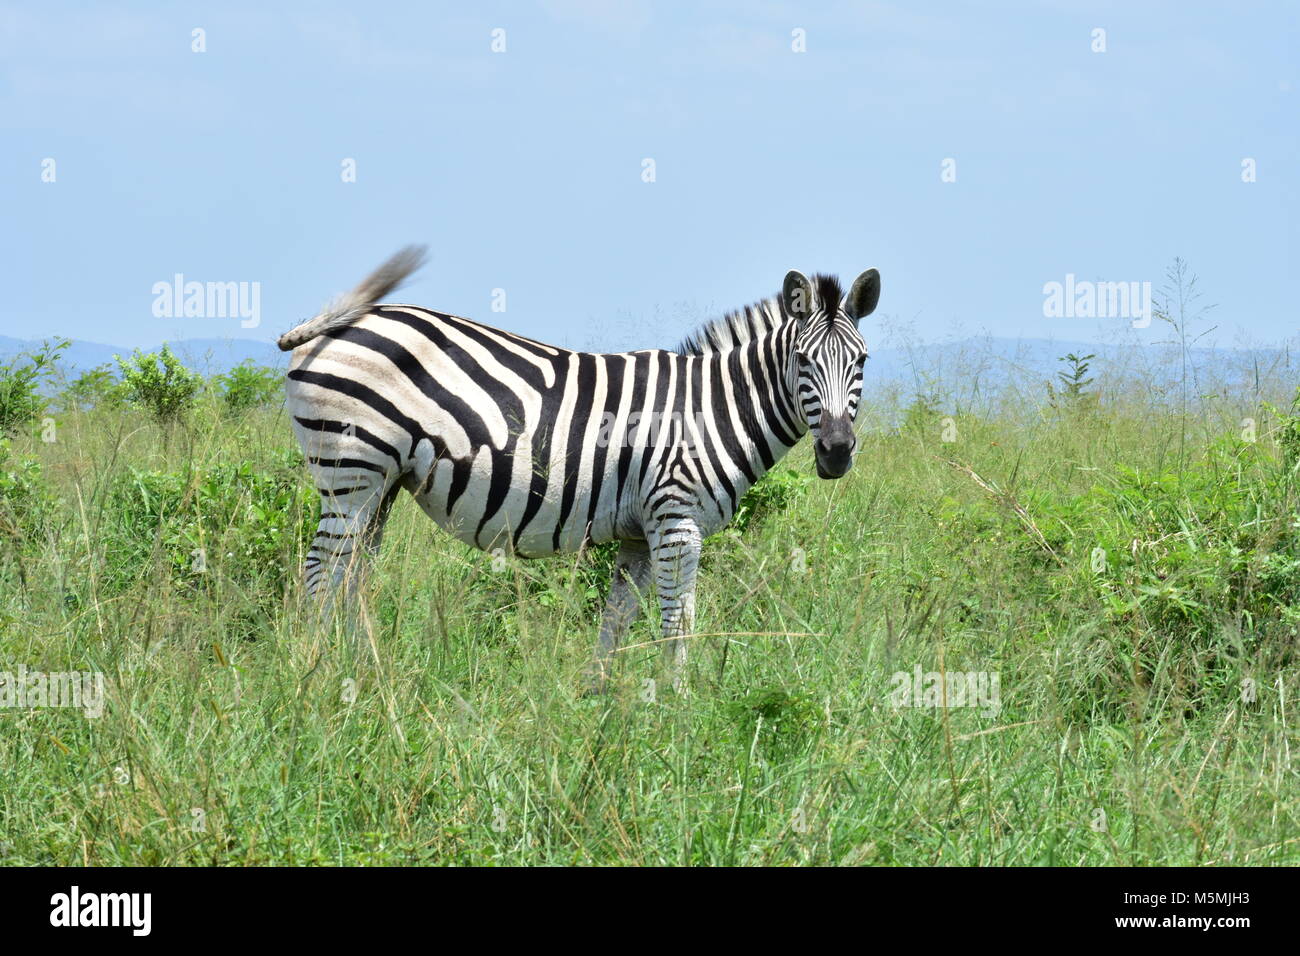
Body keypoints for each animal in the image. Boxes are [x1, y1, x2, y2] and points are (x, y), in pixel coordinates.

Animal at [278, 247, 880, 692]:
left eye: (862, 361)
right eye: (802, 361)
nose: (836, 452)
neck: (712, 408)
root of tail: (335, 324)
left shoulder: (640, 532)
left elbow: (617, 617)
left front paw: (598, 699)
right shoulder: (676, 520)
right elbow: (677, 620)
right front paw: (678, 706)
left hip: (381, 487)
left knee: (352, 576)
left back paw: (363, 669)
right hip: (351, 472)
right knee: (320, 573)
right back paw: (317, 671)